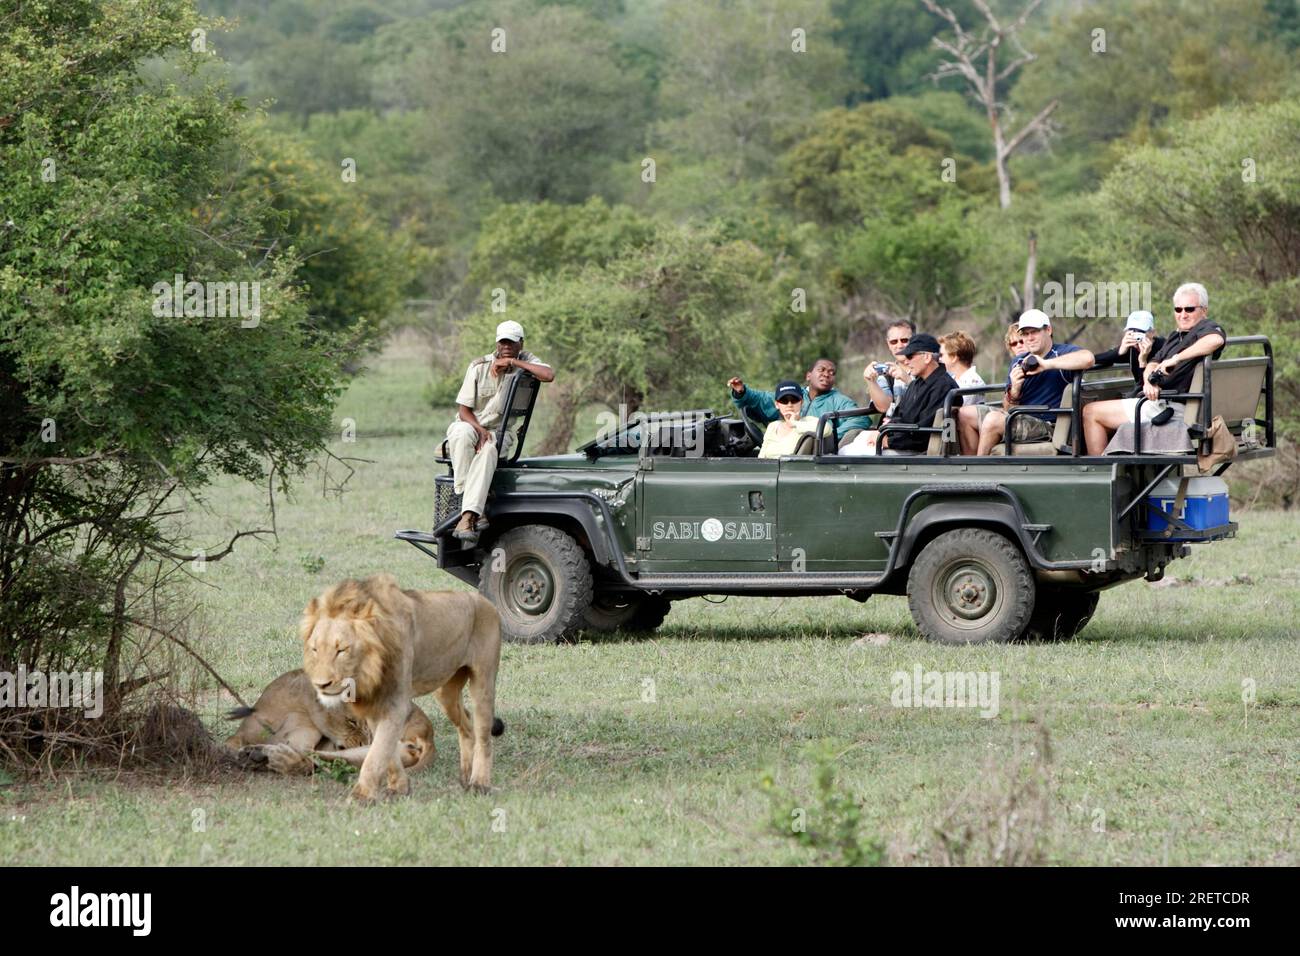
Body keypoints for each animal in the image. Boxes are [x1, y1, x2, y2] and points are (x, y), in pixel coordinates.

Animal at [224, 669, 435, 776]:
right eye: (352, 722)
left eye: (366, 725)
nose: (365, 741)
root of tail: (428, 734)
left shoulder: (306, 729)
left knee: (313, 756)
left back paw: (264, 756)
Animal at [299, 573, 504, 801]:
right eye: (315, 649)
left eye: (341, 650)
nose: (321, 684)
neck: (368, 667)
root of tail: (486, 602)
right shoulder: (375, 703)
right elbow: (387, 750)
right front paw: (398, 788)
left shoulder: (396, 702)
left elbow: (377, 752)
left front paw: (361, 796)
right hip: (446, 693)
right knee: (466, 726)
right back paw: (465, 776)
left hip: (483, 681)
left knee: (483, 736)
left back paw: (479, 783)